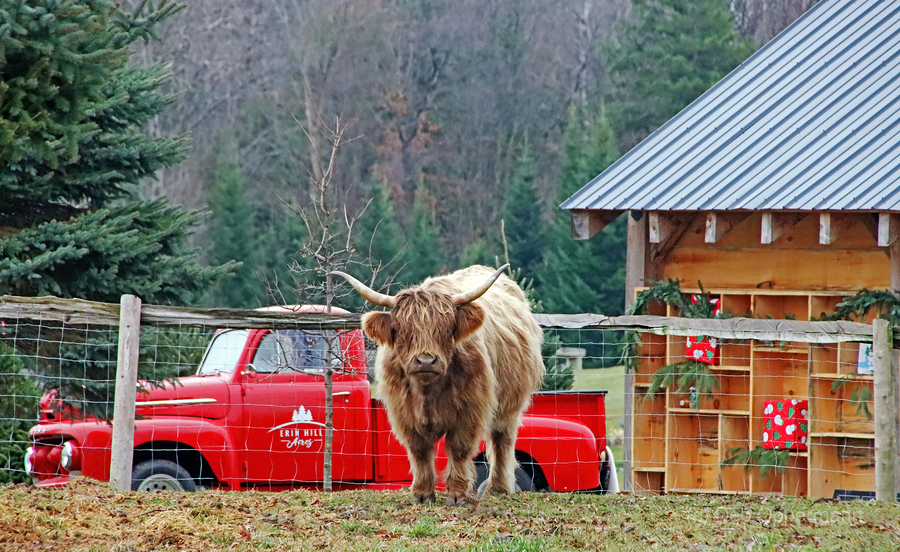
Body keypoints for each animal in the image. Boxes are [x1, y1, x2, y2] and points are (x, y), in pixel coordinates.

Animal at [331, 264, 545, 506]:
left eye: (445, 329)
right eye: (404, 331)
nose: (426, 361)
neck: (427, 391)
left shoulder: (470, 408)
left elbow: (459, 448)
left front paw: (457, 495)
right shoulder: (404, 412)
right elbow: (419, 449)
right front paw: (422, 494)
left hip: (510, 404)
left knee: (502, 441)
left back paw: (498, 488)